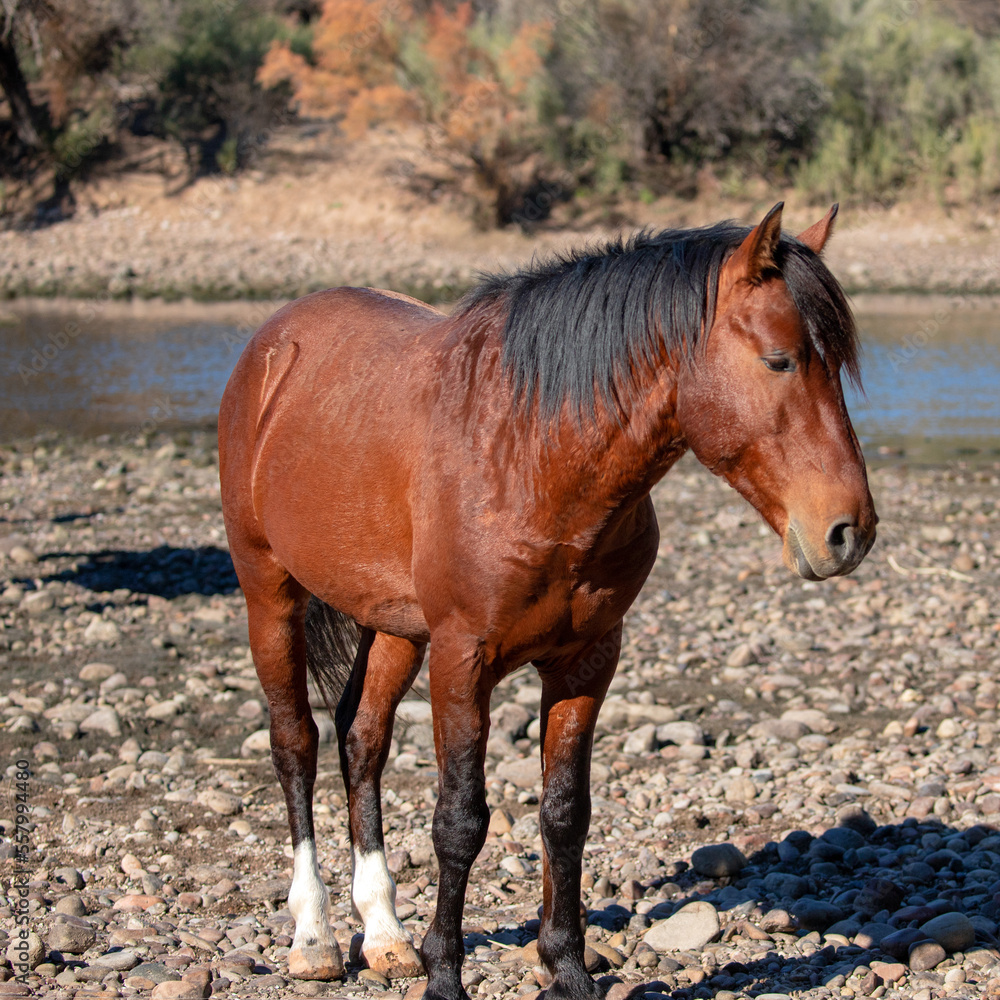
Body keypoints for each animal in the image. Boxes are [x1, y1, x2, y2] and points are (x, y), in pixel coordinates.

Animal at [218, 202, 877, 1000]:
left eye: (838, 364)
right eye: (779, 359)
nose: (849, 531)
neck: (531, 454)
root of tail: (275, 342)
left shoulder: (585, 661)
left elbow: (565, 813)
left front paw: (566, 968)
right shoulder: (462, 660)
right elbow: (460, 821)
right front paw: (446, 976)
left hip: (395, 627)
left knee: (361, 741)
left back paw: (384, 935)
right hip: (269, 594)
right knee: (296, 745)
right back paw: (313, 937)